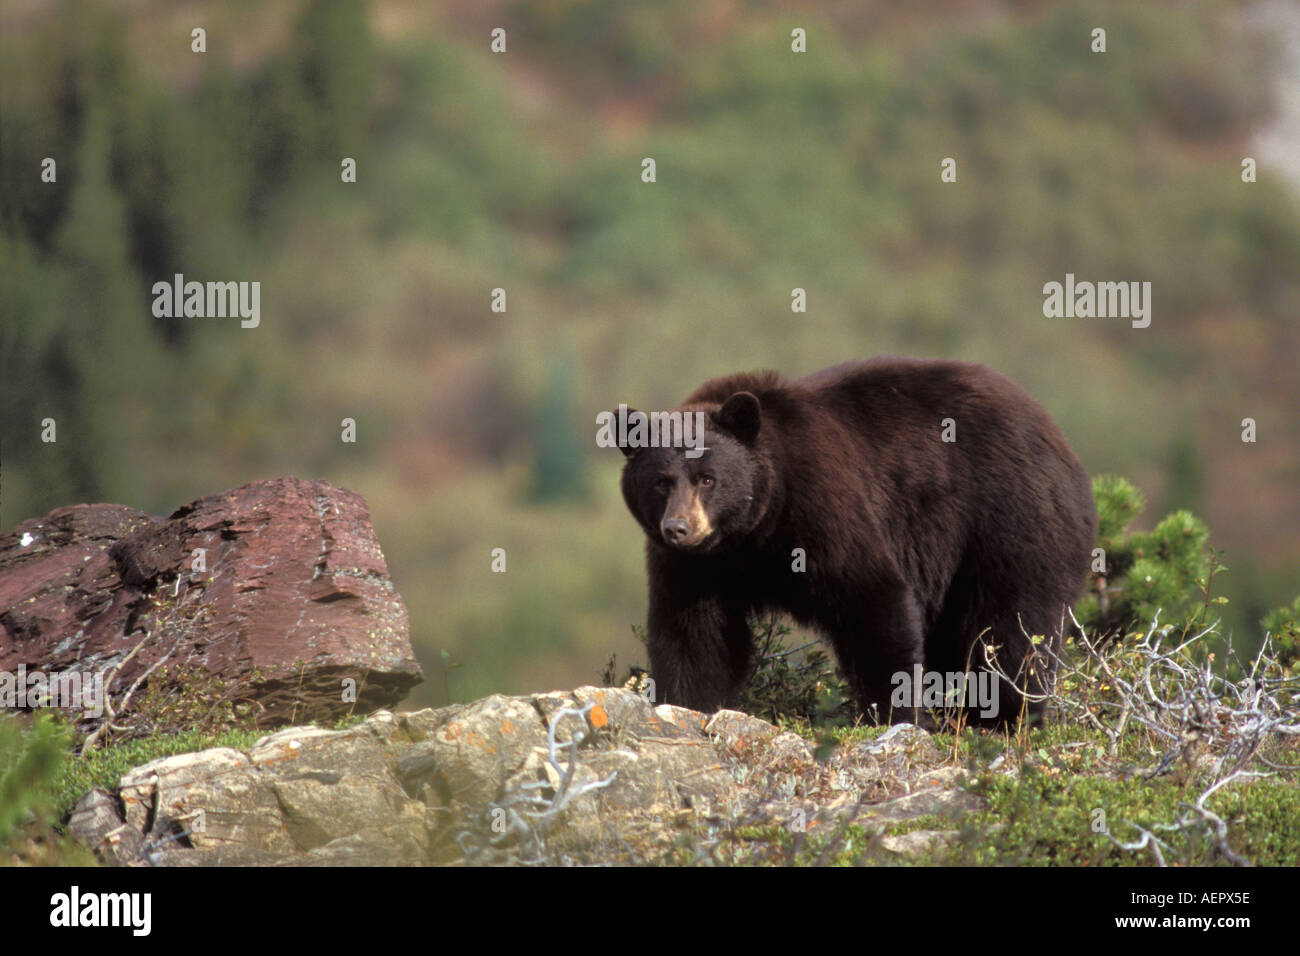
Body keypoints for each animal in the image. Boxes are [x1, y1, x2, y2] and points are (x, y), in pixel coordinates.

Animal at [611, 357, 1097, 726]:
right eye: (660, 481)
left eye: (707, 478)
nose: (678, 528)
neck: (752, 532)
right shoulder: (696, 568)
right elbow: (694, 632)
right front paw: (686, 703)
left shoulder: (821, 506)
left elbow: (871, 597)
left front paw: (896, 714)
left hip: (1007, 519)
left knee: (1009, 626)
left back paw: (1002, 715)